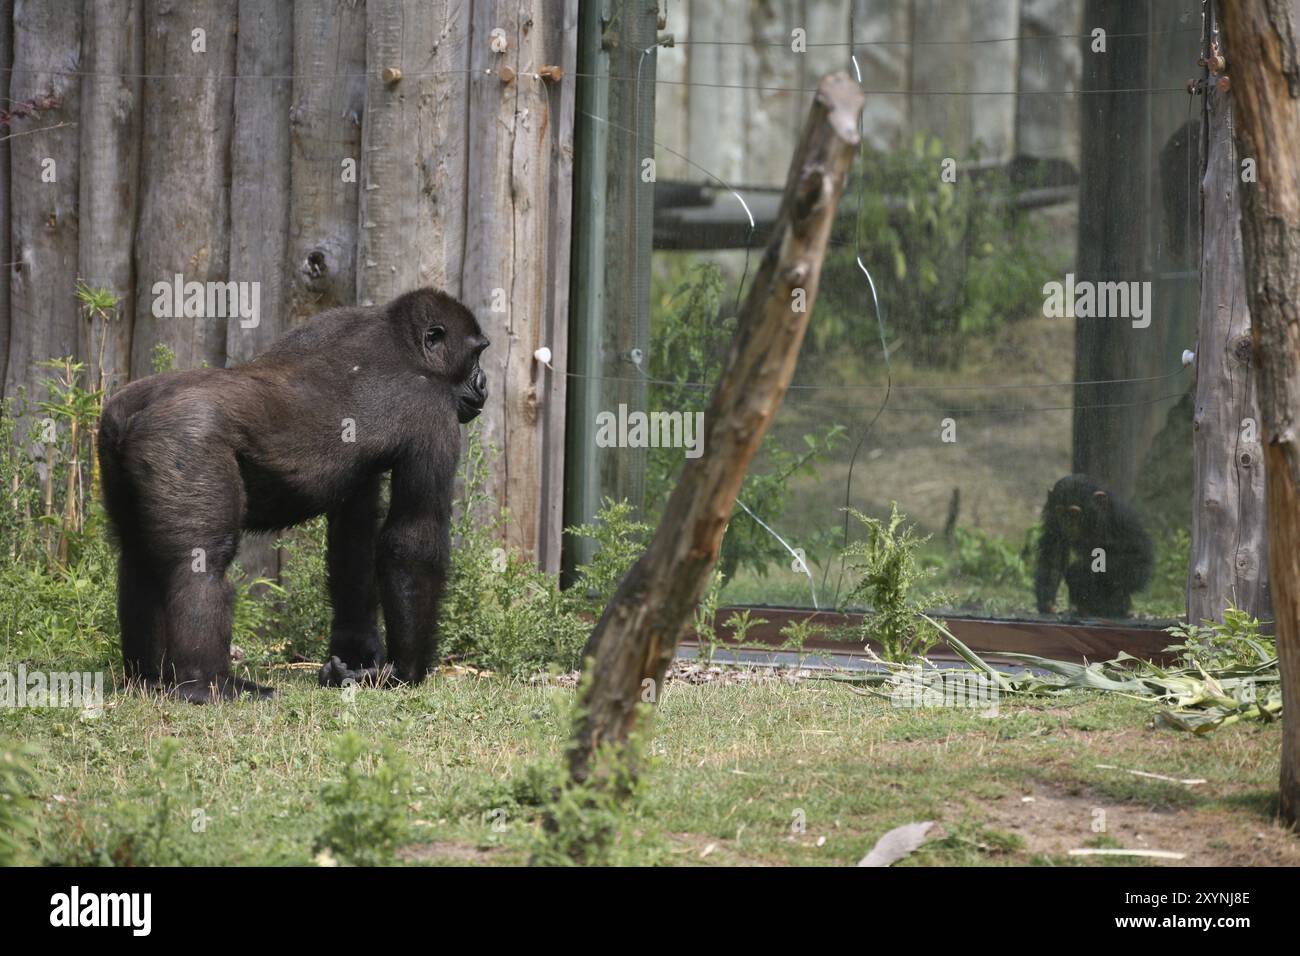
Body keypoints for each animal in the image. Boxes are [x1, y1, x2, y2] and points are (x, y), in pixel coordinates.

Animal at [98, 288, 490, 702]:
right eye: (476, 354)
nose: (483, 383)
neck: (406, 345)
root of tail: (139, 409)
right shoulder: (434, 414)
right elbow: (413, 540)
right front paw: (403, 672)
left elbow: (354, 536)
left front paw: (356, 658)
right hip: (185, 438)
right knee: (200, 561)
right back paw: (206, 684)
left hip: (112, 437)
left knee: (136, 554)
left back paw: (147, 677)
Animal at [1034, 474, 1154, 618]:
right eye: (1061, 512)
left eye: (1073, 514)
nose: (1066, 523)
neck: (1089, 524)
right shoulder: (1053, 518)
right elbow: (1054, 554)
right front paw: (1047, 602)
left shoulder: (1121, 520)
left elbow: (1138, 558)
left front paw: (1080, 569)